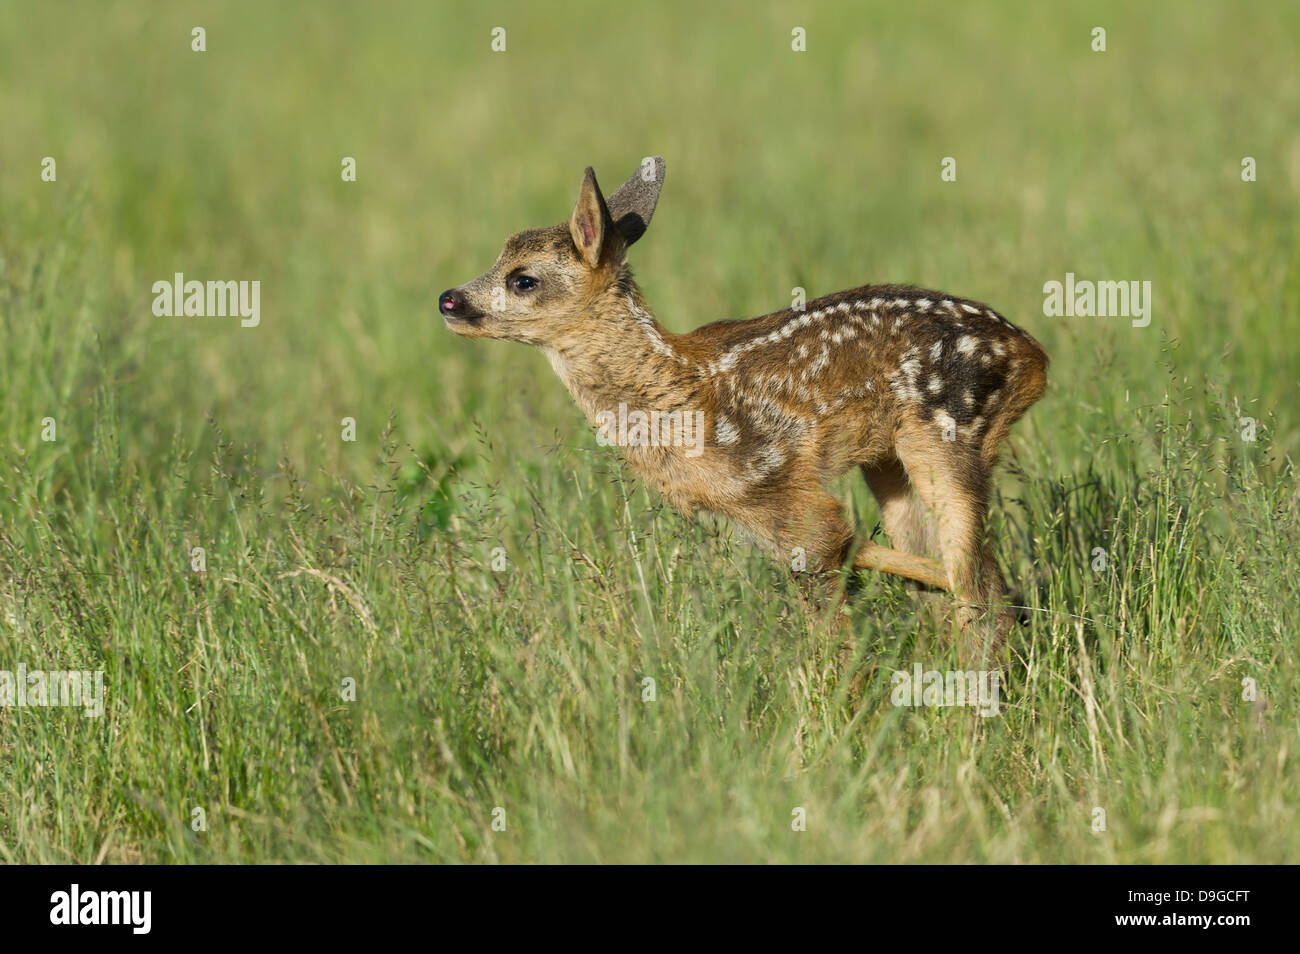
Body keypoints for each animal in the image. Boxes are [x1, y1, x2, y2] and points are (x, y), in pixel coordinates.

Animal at [439, 157, 1048, 663]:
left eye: (522, 278)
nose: (448, 298)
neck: (680, 400)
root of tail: (1033, 355)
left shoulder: (780, 492)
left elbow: (836, 629)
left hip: (949, 432)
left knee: (979, 595)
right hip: (888, 461)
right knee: (962, 585)